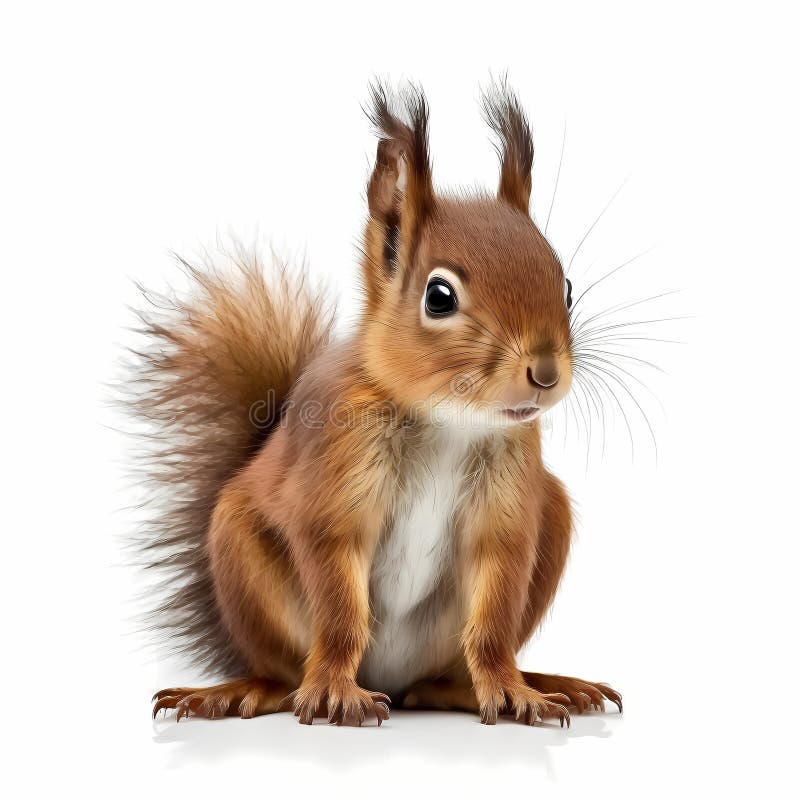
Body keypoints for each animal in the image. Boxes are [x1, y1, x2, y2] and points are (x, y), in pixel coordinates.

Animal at [131, 81, 622, 728]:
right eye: (438, 296)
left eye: (563, 285)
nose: (545, 372)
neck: (448, 424)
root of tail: (391, 680)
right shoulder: (337, 475)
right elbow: (340, 602)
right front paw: (335, 691)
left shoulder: (508, 502)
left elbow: (493, 619)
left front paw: (511, 689)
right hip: (241, 550)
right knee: (286, 673)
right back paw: (245, 690)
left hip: (549, 520)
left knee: (440, 679)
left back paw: (531, 684)